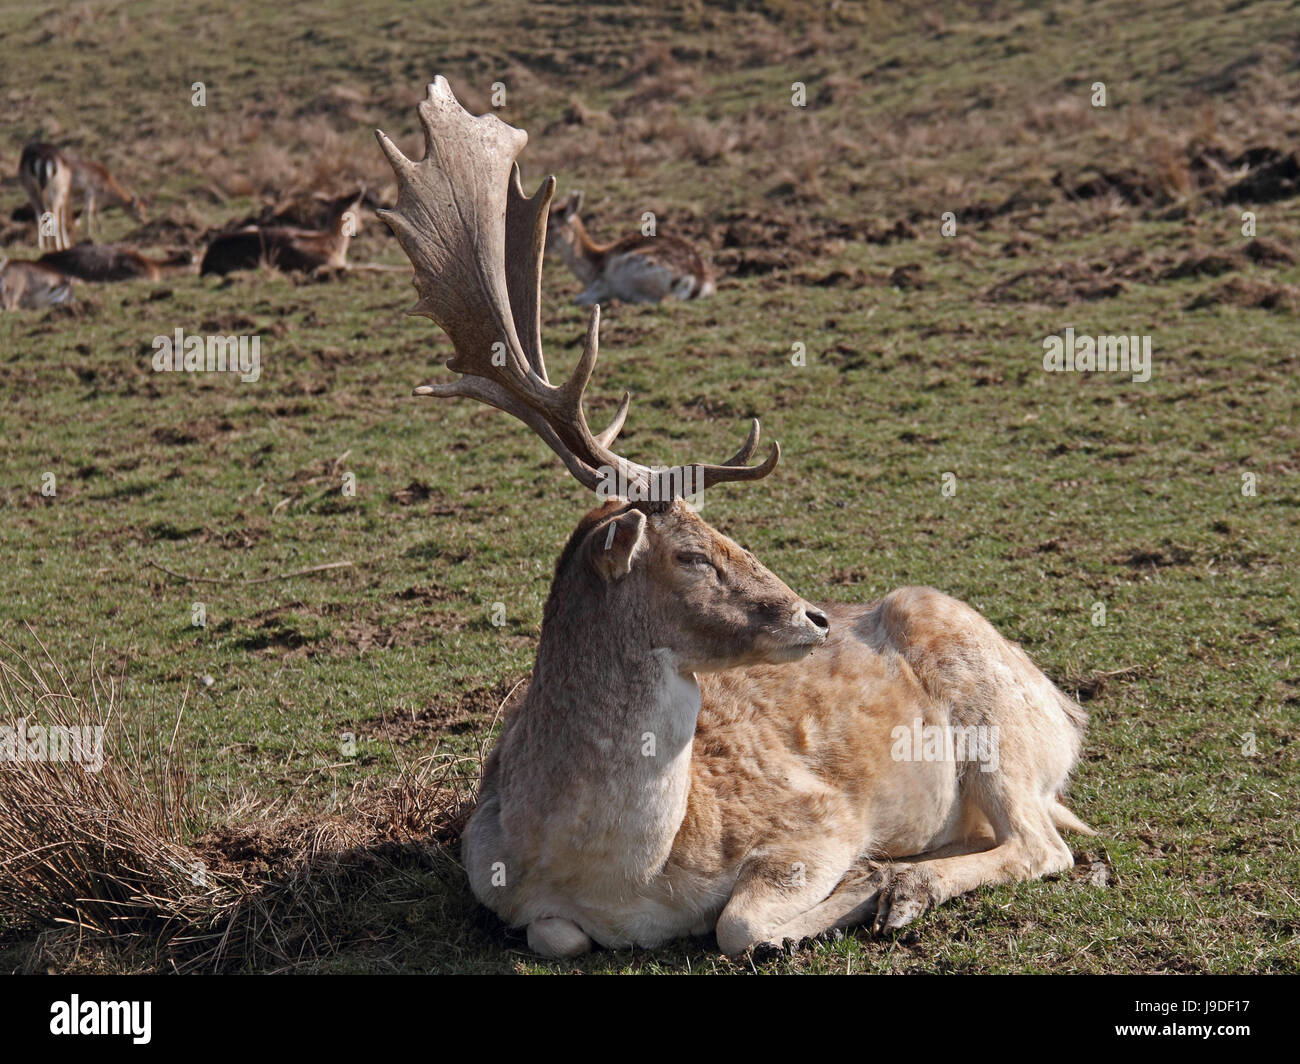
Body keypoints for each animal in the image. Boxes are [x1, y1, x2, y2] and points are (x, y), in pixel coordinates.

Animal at [545, 190, 716, 305]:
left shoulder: (601, 282)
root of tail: (699, 281)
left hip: (638, 266)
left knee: (660, 299)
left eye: (551, 225)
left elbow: (578, 298)